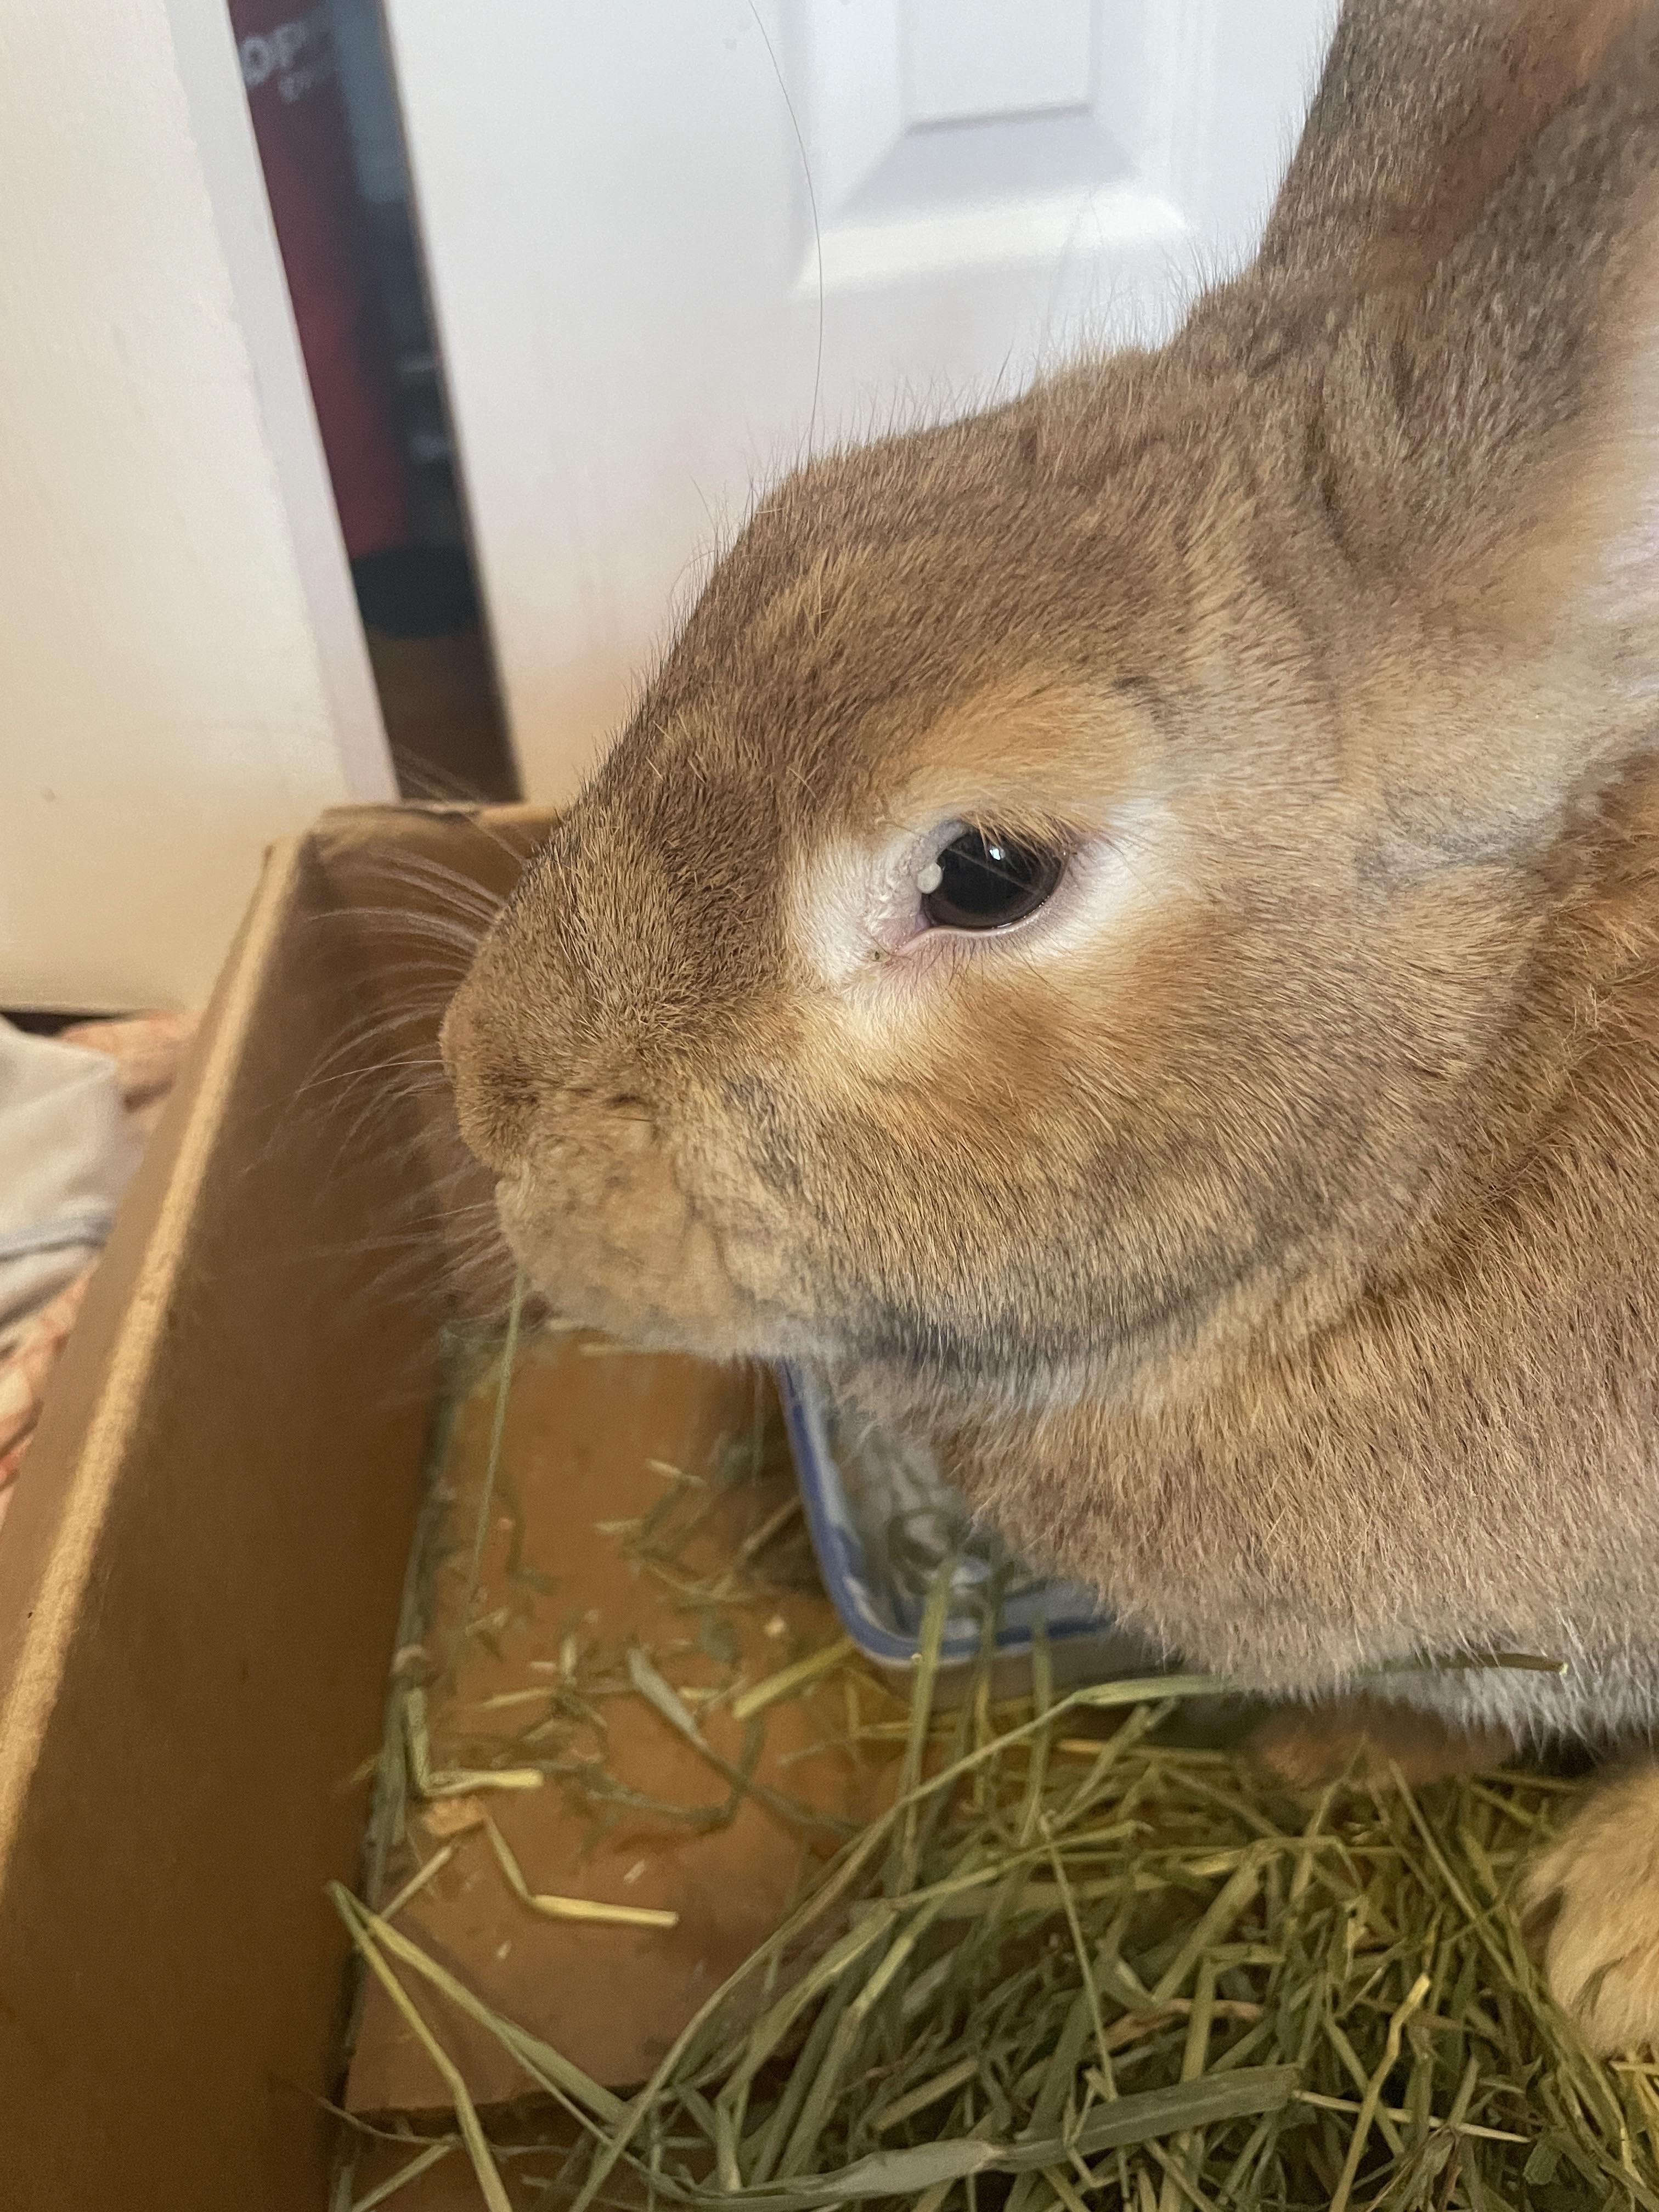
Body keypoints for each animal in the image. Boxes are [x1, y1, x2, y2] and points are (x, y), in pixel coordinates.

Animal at [443, 0, 1659, 2055]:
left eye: (988, 871)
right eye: (787, 520)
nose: (486, 1085)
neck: (1469, 1133)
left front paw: (1606, 1935)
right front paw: (1334, 1754)